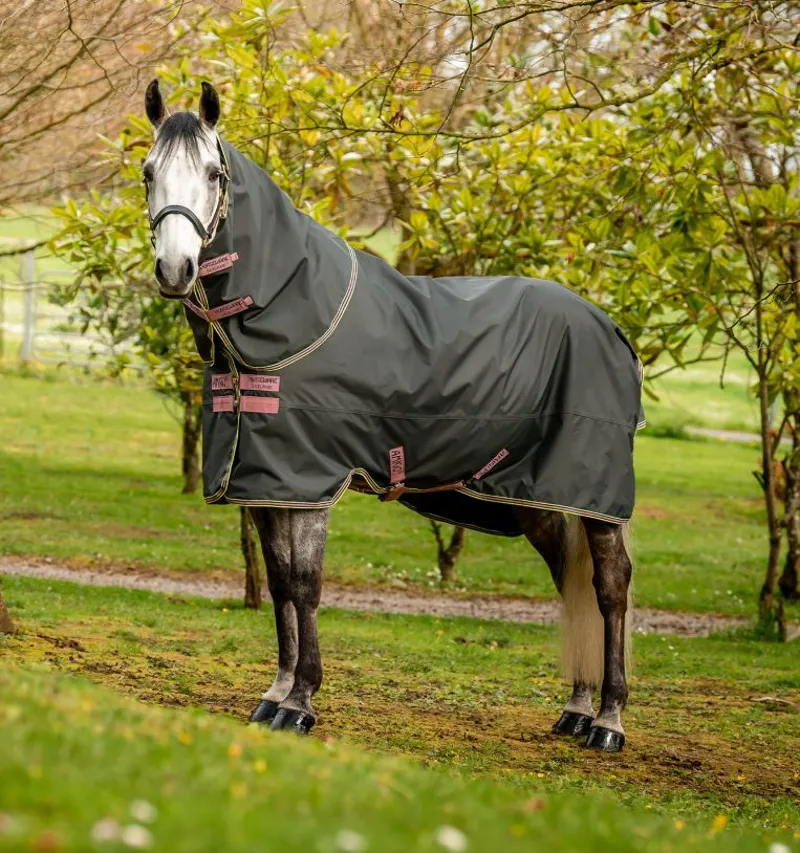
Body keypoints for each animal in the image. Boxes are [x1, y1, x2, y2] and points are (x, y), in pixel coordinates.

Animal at [142, 79, 641, 753]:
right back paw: (576, 710)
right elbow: (277, 583)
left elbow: (305, 585)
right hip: (534, 496)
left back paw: (608, 722)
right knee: (572, 582)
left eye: (214, 173)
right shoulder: (268, 483)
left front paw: (299, 703)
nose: (176, 270)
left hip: (594, 498)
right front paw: (274, 692)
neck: (292, 308)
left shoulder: (310, 483)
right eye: (148, 173)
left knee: (609, 589)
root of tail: (608, 327)